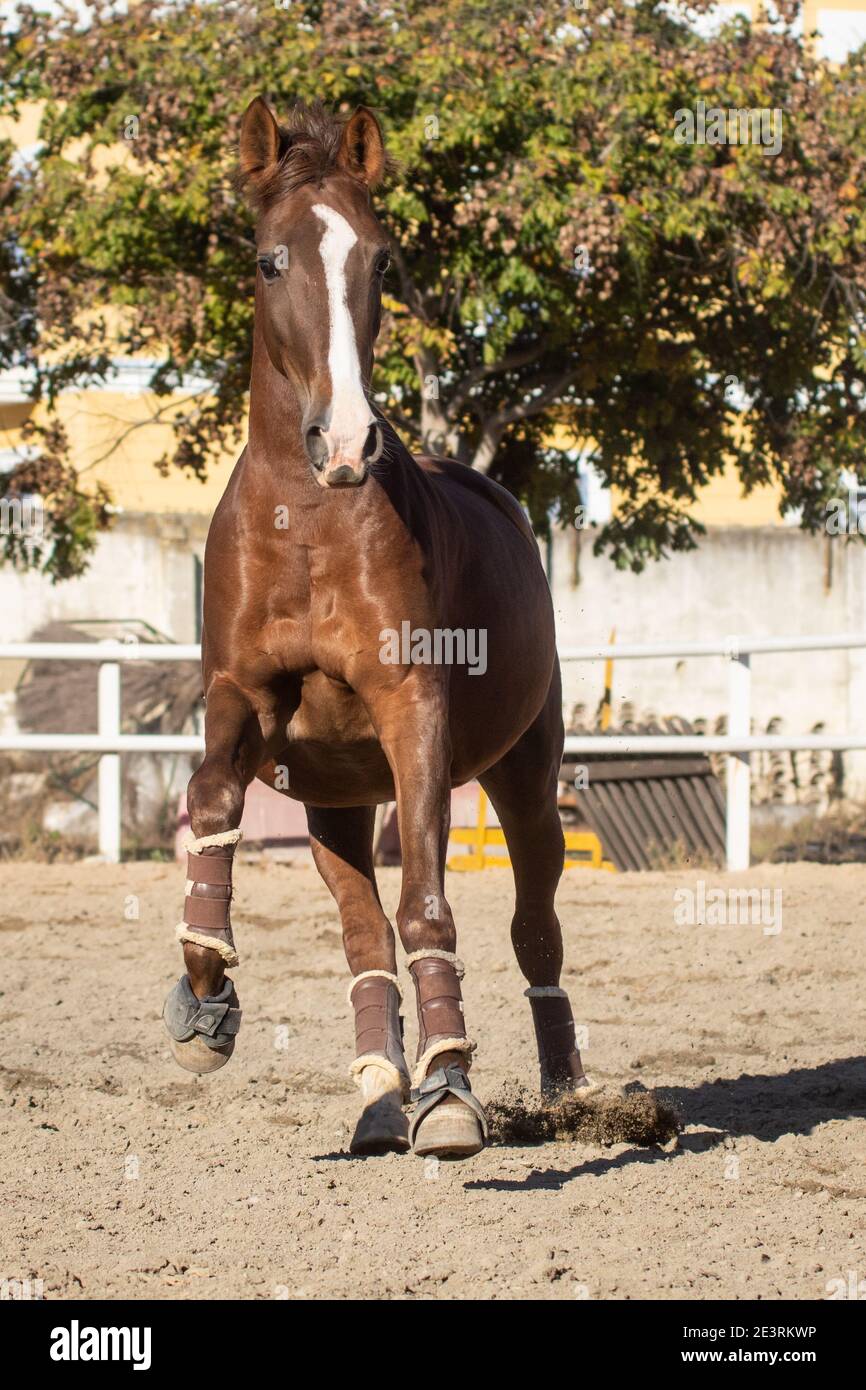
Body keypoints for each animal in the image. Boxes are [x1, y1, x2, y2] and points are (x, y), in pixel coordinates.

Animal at [162, 97, 592, 1159]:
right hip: (335, 804)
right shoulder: (242, 700)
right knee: (364, 936)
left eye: (382, 263)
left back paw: (560, 1089)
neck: (311, 522)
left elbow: (430, 905)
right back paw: (379, 1098)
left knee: (534, 929)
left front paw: (453, 1092)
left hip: (526, 777)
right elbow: (211, 800)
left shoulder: (413, 715)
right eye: (270, 260)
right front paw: (205, 997)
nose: (347, 439)